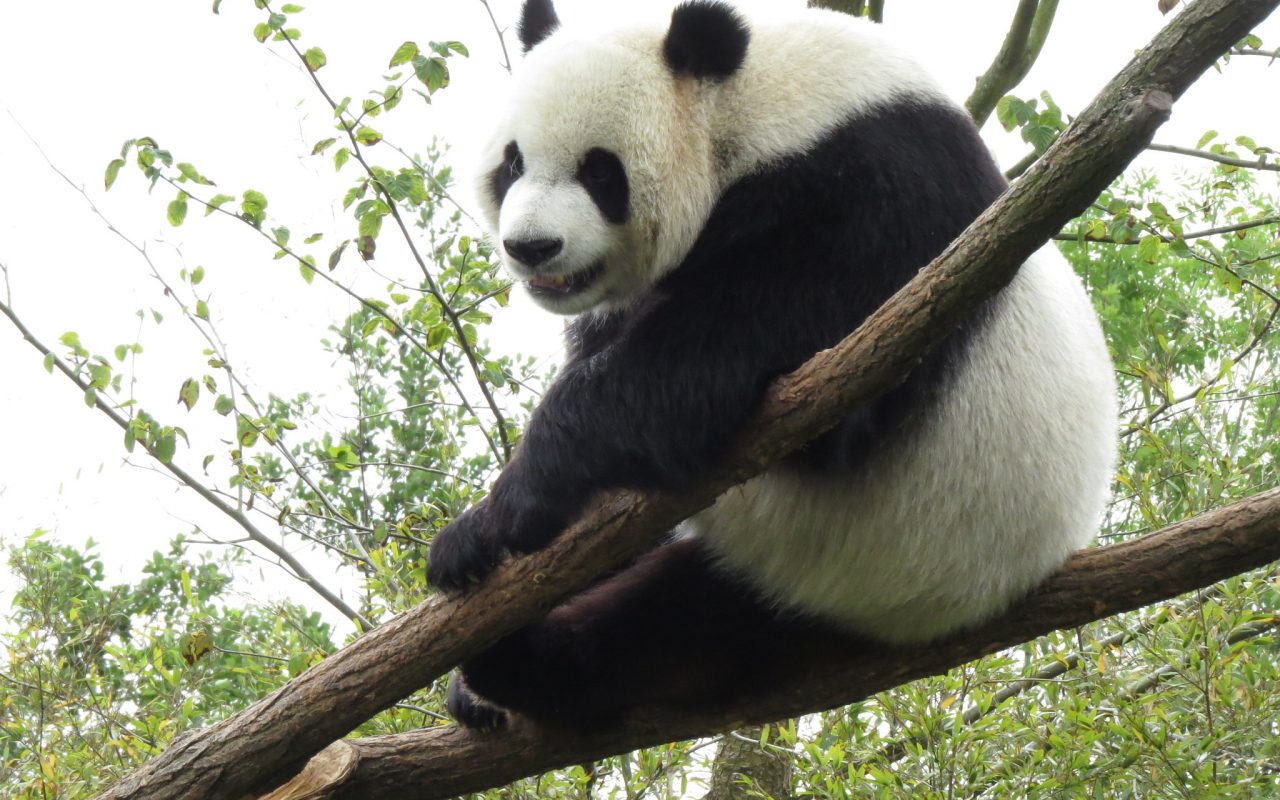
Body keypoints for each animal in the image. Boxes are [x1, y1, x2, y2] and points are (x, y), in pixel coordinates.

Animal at [426, 0, 1118, 730]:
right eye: (511, 164)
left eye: (599, 172)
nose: (532, 247)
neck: (752, 112)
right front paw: (474, 538)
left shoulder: (879, 193)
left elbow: (718, 365)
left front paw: (507, 510)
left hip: (878, 573)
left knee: (669, 628)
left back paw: (512, 662)